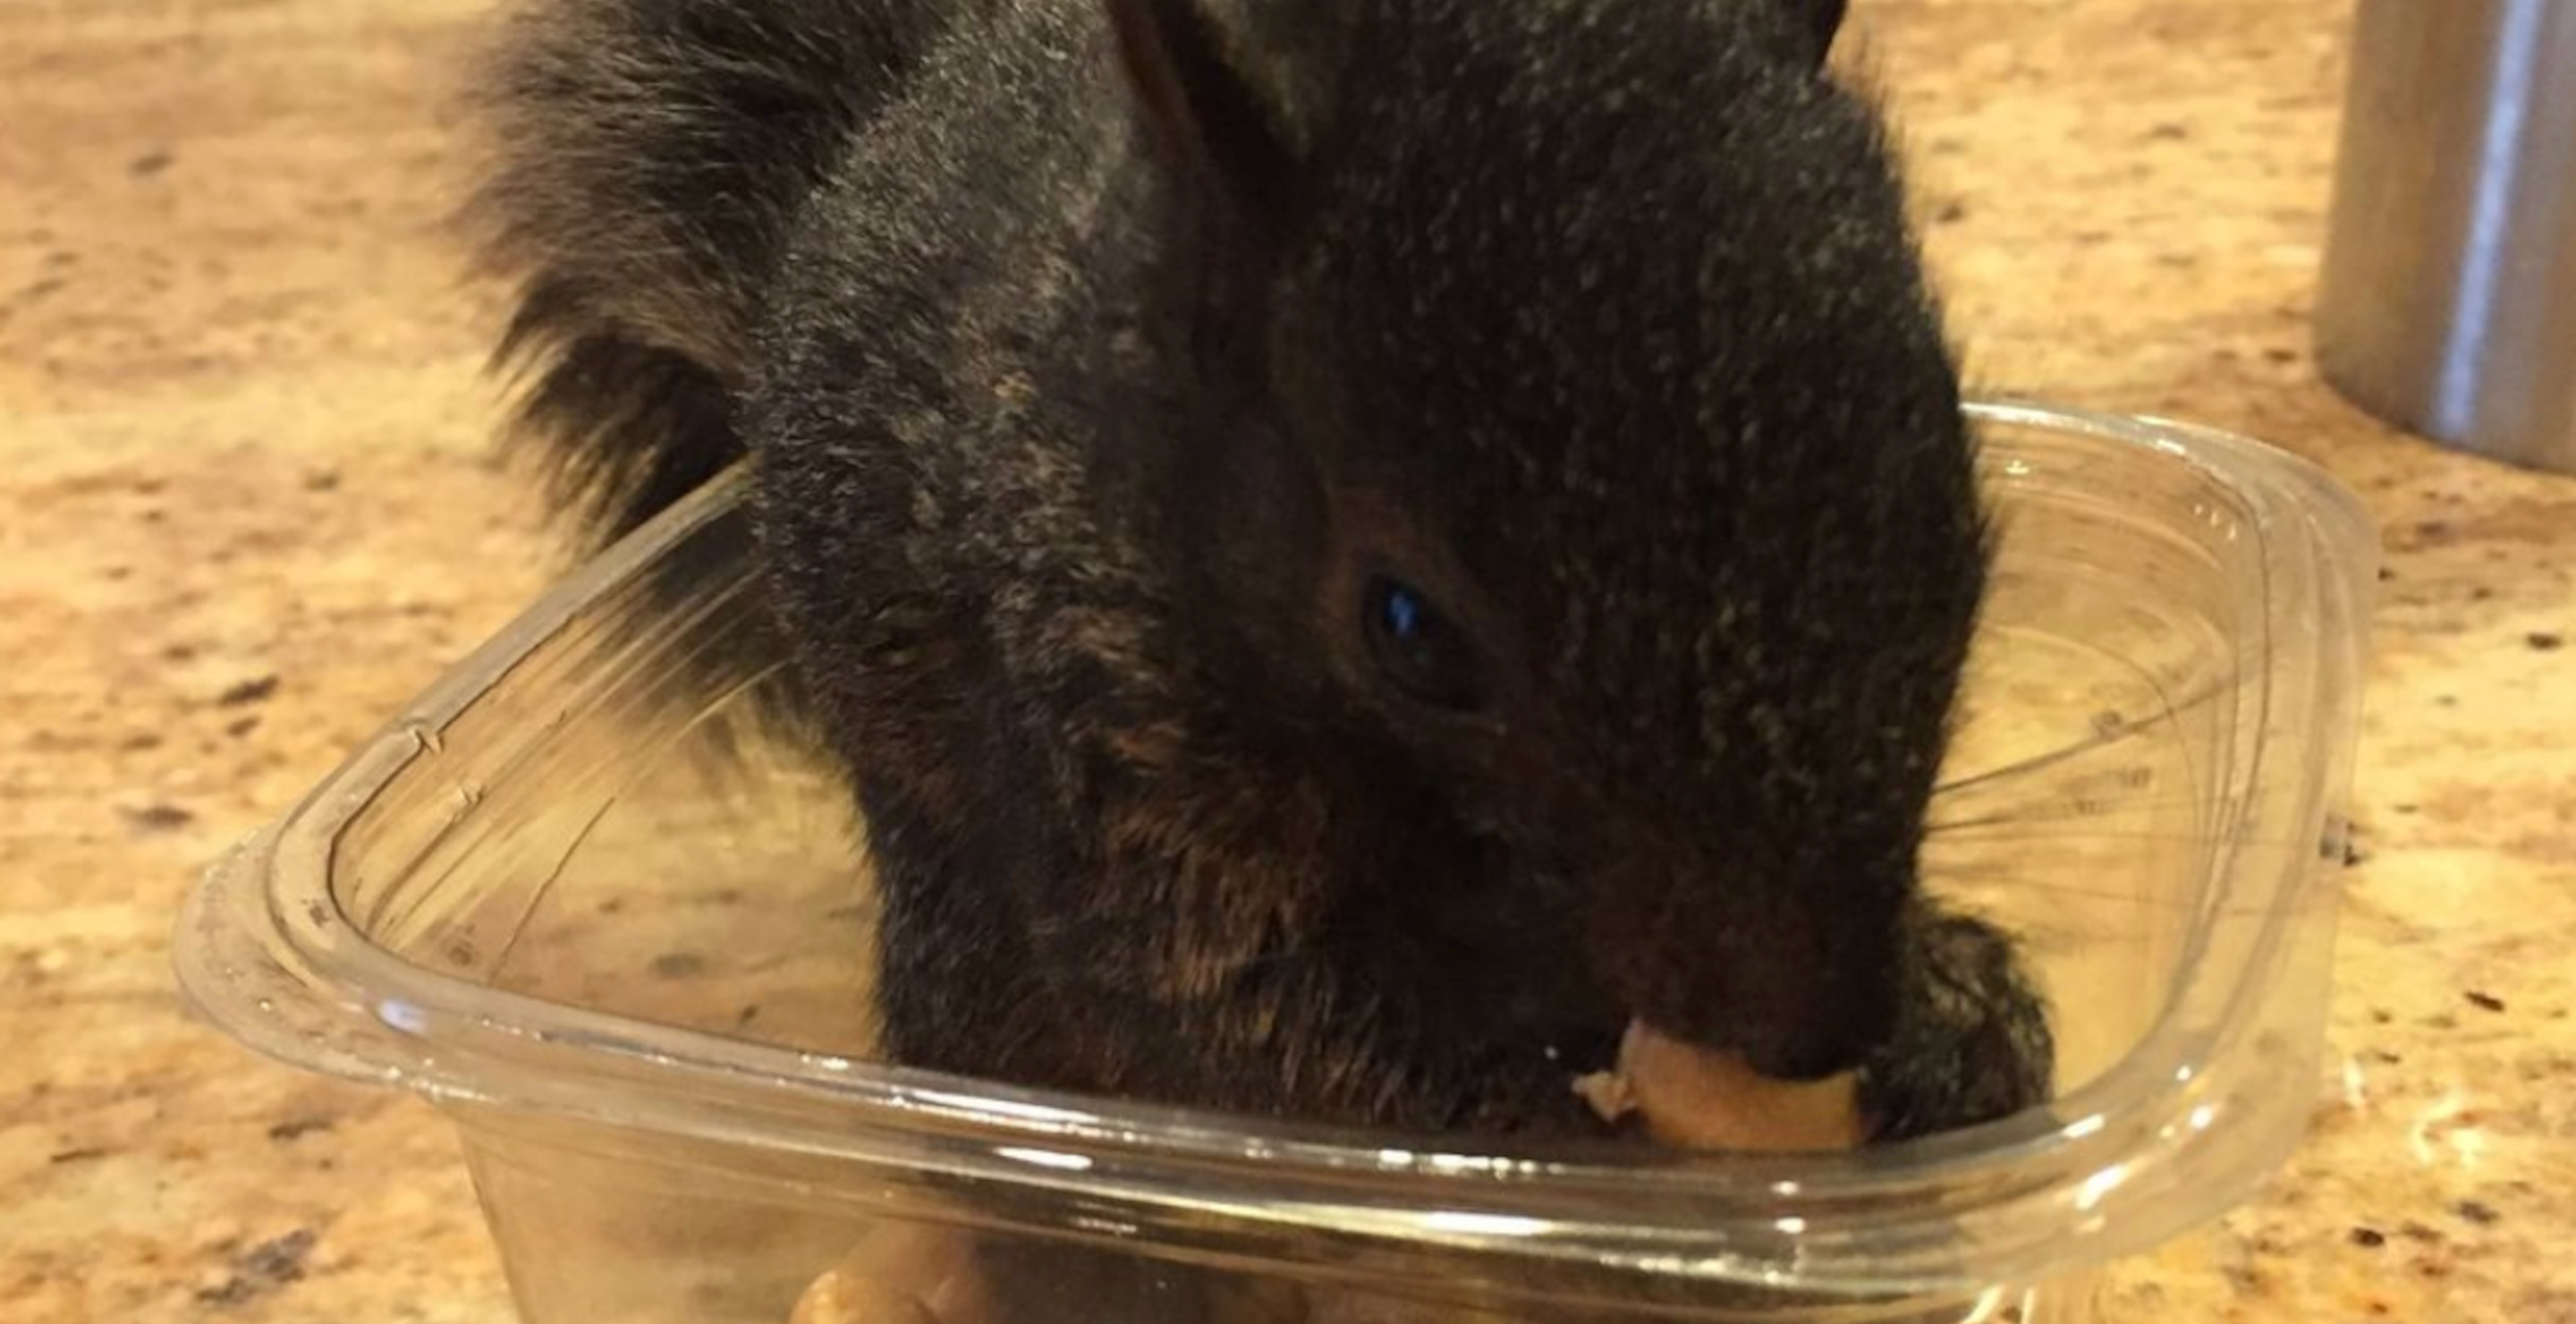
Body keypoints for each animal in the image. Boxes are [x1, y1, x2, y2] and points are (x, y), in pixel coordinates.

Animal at [470, 0, 2051, 1156]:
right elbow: (1245, 1021)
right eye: (1410, 628)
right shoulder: (1105, 737)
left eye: (1950, 473)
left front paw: (1962, 1007)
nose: (1822, 1029)